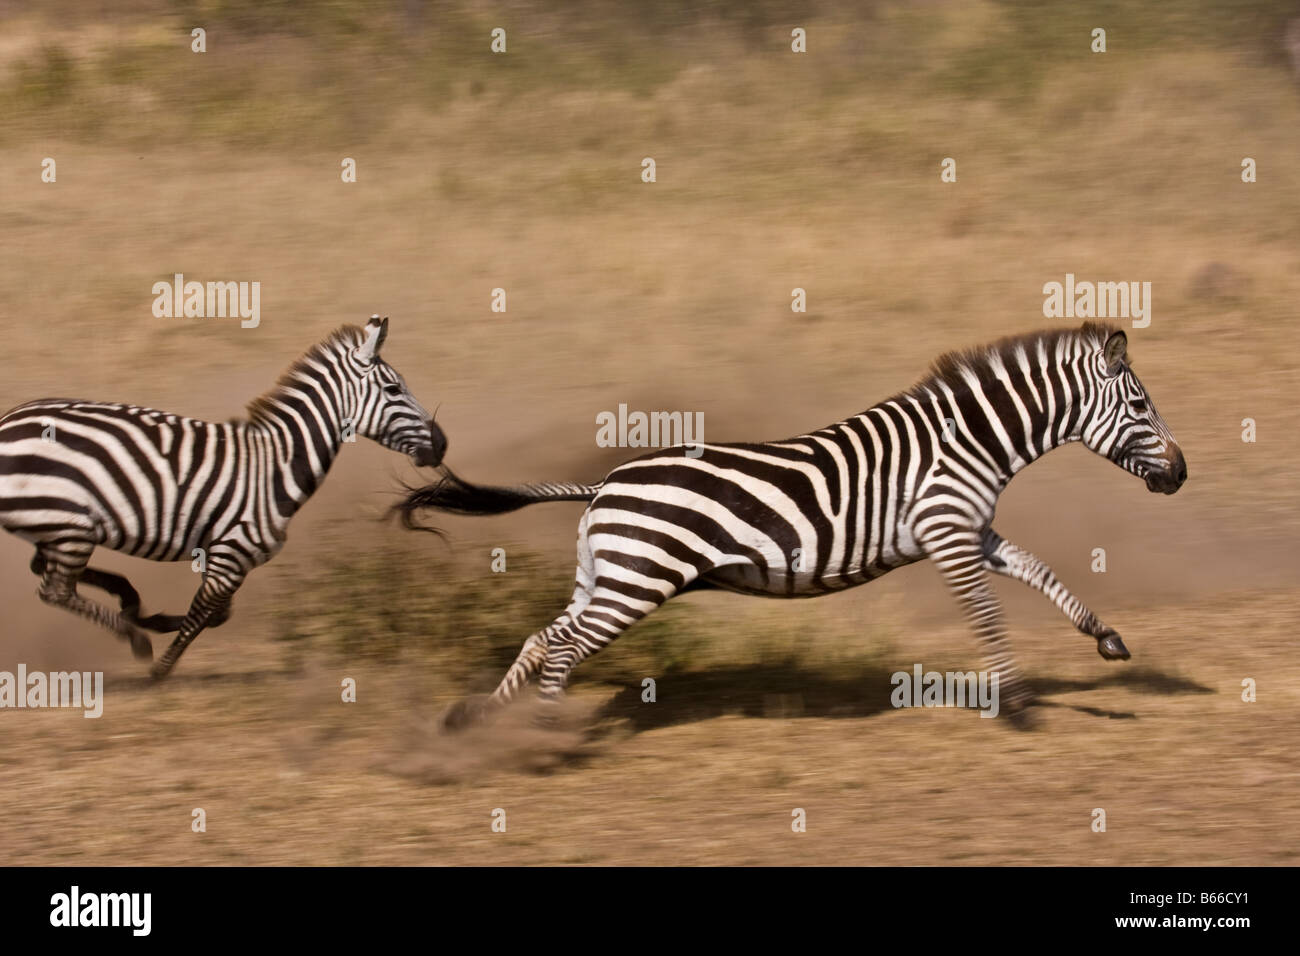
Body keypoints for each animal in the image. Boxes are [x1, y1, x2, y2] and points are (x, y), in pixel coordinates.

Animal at [0, 315, 445, 677]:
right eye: (393, 389)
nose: (442, 445)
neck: (276, 464)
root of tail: (8, 421)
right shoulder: (231, 556)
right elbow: (202, 616)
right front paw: (160, 669)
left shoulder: (229, 559)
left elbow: (216, 614)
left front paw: (153, 619)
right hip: (67, 523)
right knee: (54, 589)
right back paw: (134, 638)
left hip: (60, 524)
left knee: (44, 569)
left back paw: (129, 603)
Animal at [399, 322, 1185, 725]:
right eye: (1140, 406)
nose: (1180, 474)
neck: (968, 440)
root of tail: (604, 483)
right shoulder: (947, 535)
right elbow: (988, 616)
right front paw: (1019, 704)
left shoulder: (969, 531)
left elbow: (1041, 571)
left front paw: (1107, 640)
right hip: (637, 583)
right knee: (562, 648)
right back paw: (542, 739)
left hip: (605, 577)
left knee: (542, 637)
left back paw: (485, 725)